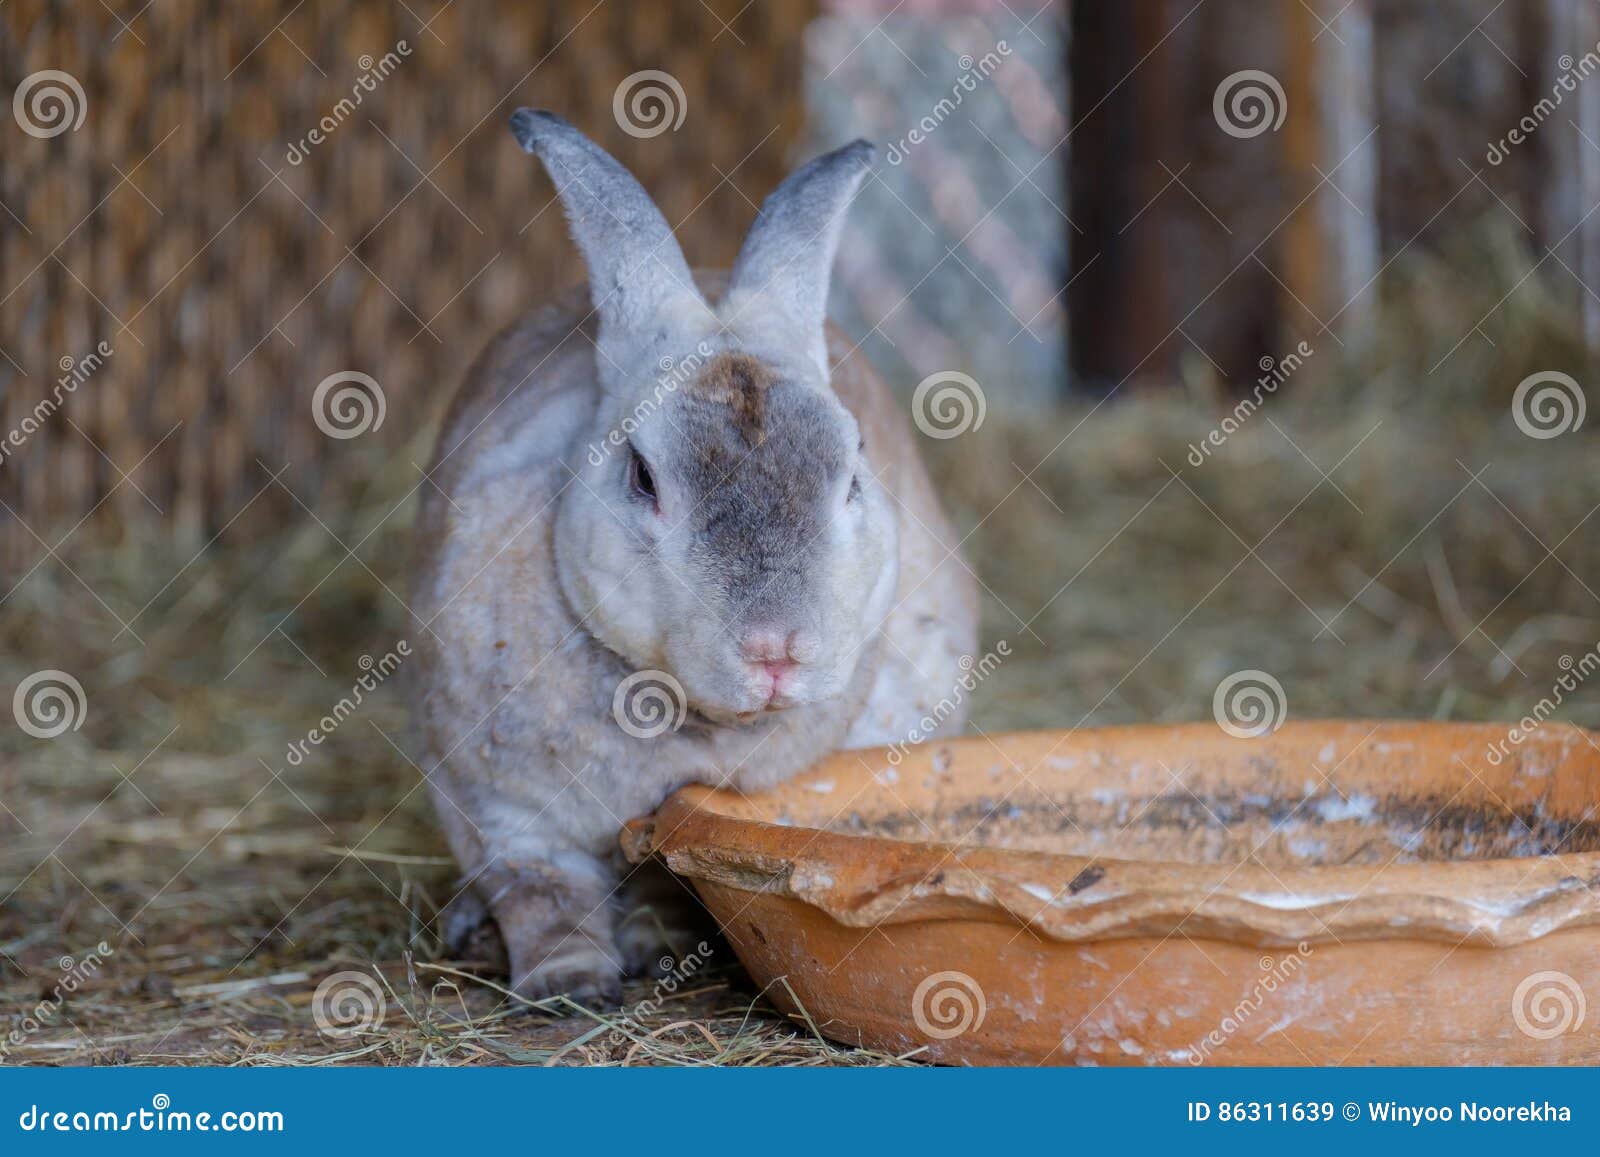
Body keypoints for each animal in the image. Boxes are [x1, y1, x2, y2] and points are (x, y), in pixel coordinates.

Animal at [409, 110, 978, 1004]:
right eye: (643, 475)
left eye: (851, 471)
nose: (776, 647)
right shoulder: (503, 810)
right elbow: (542, 893)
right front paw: (572, 981)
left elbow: (659, 880)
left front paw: (647, 944)